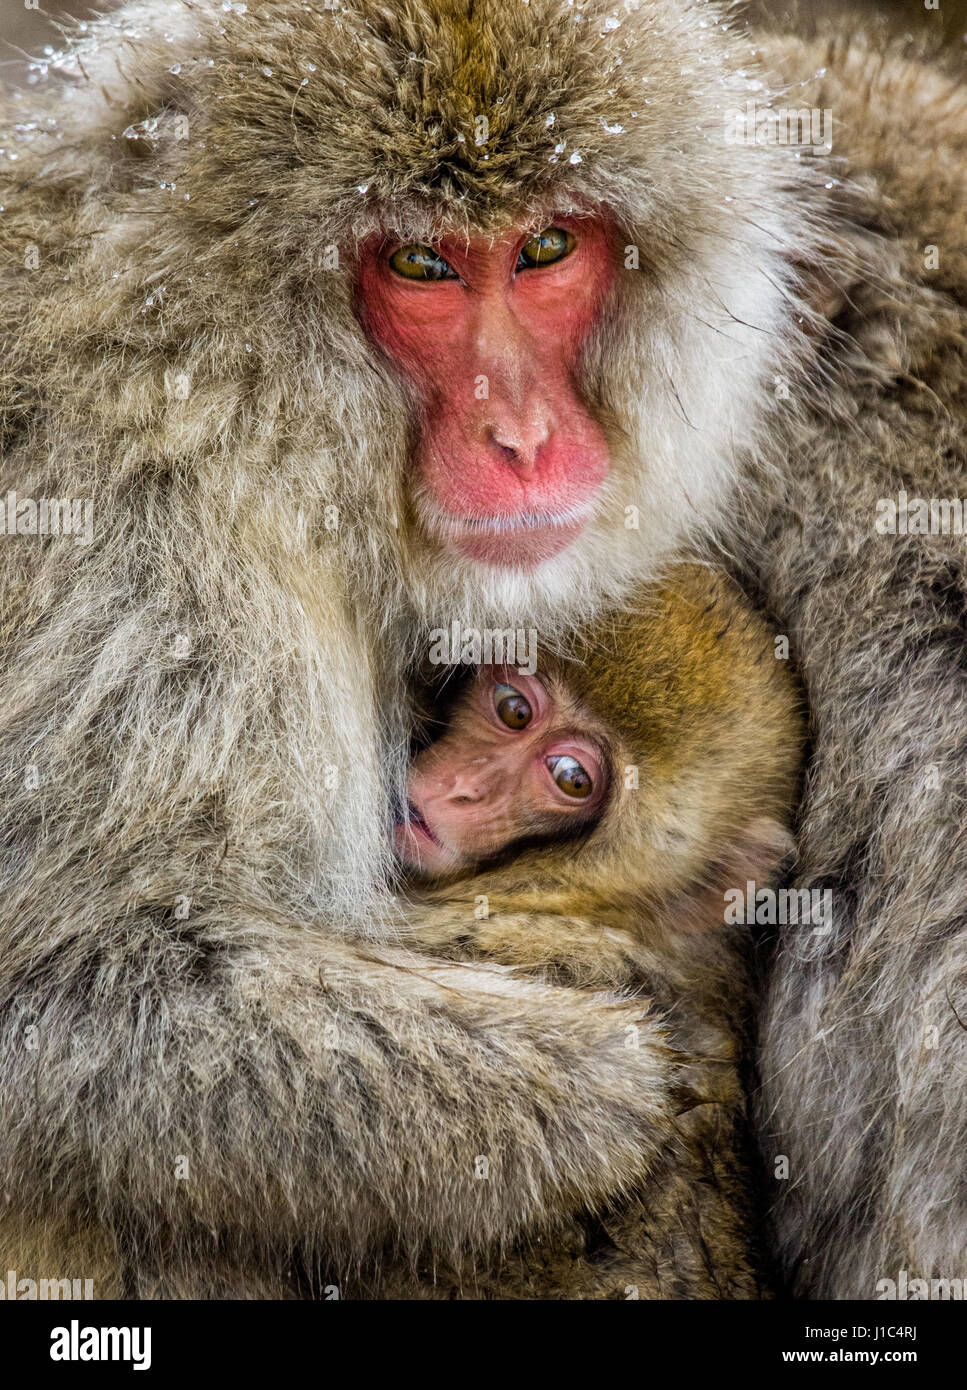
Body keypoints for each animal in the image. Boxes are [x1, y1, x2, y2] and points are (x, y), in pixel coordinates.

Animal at [0, 0, 965, 1301]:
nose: (521, 437)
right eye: (421, 266)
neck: (233, 386)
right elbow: (67, 999)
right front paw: (610, 1088)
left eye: (546, 248)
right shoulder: (150, 555)